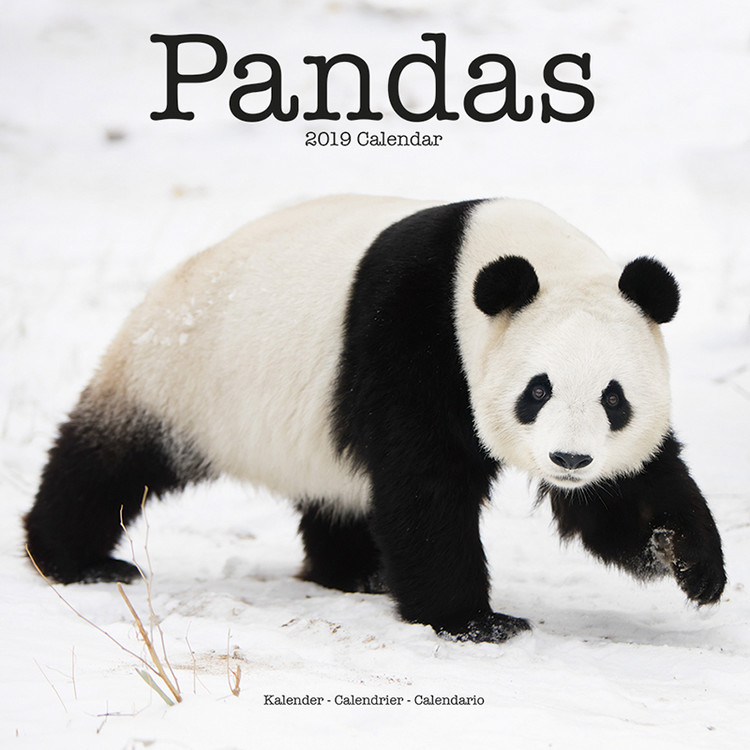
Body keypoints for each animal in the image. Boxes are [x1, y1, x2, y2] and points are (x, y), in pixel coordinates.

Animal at [24, 195, 726, 644]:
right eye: (537, 390)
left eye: (614, 398)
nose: (571, 461)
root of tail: (164, 288)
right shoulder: (412, 340)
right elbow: (423, 488)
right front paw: (475, 622)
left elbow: (627, 494)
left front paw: (687, 561)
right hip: (180, 379)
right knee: (108, 466)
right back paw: (76, 560)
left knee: (336, 493)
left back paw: (357, 571)